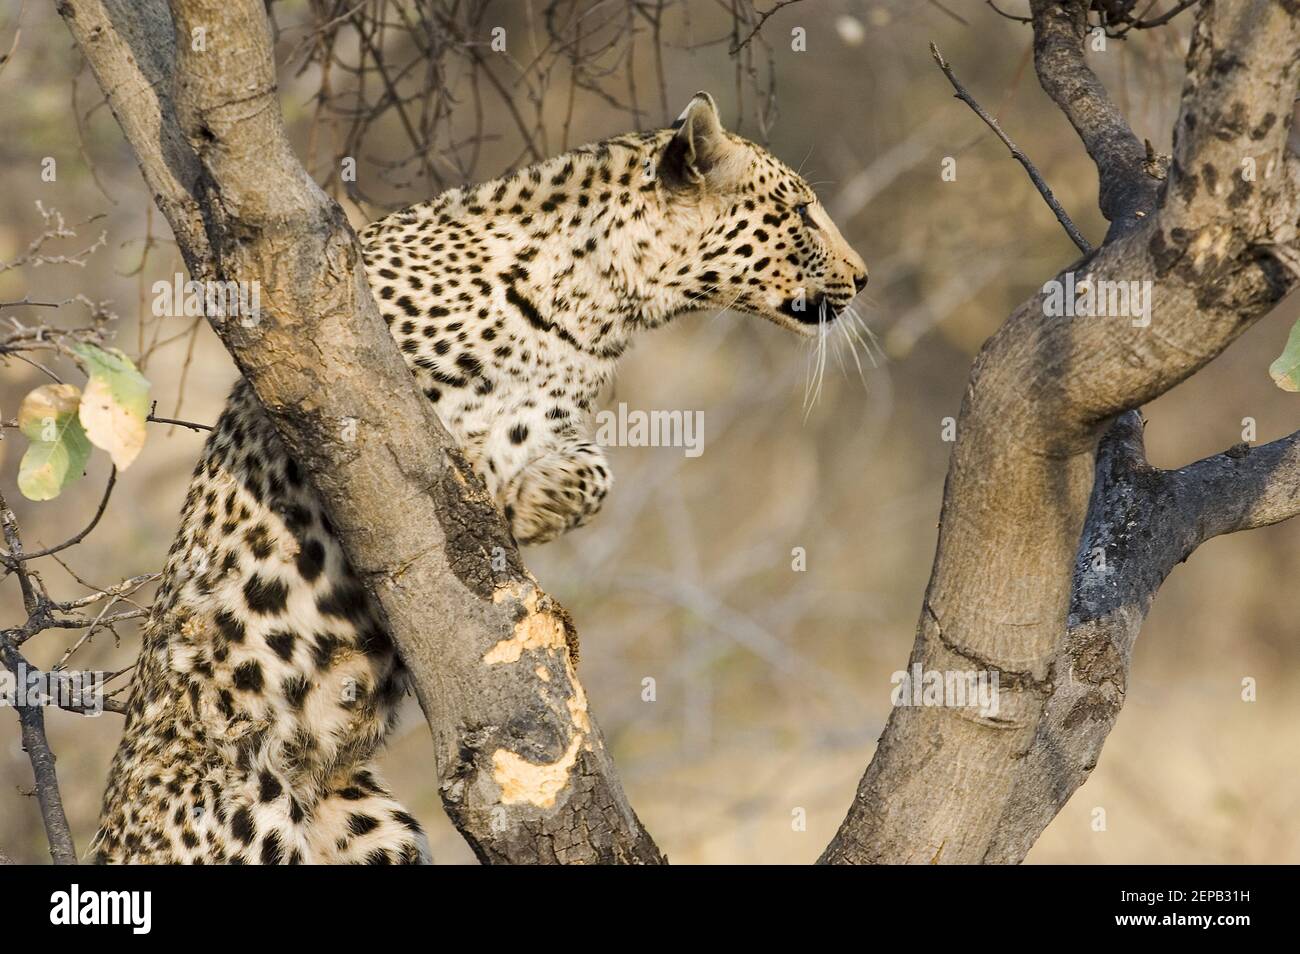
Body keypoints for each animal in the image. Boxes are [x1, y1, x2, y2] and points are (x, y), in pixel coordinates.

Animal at [92, 92, 868, 864]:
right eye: (801, 212)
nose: (862, 277)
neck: (600, 311)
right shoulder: (310, 396)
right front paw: (493, 484)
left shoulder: (553, 424)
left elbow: (597, 474)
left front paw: (529, 506)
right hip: (238, 819)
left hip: (376, 829)